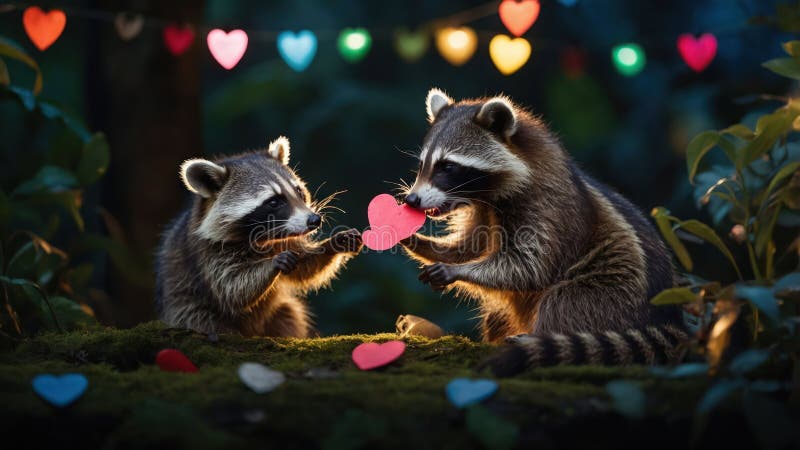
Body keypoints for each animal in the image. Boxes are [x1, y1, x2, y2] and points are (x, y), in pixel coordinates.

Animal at [155, 137, 362, 337]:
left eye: (298, 192)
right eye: (274, 202)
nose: (314, 220)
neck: (266, 236)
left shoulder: (286, 237)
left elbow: (305, 269)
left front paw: (333, 244)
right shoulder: (208, 251)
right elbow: (231, 287)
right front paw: (272, 263)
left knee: (290, 315)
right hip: (189, 310)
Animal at [400, 89, 687, 374]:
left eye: (448, 166)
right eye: (423, 164)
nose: (412, 200)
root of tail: (669, 318)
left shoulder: (547, 205)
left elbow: (528, 267)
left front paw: (458, 270)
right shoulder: (483, 210)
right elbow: (469, 246)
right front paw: (422, 243)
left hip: (617, 286)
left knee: (567, 301)